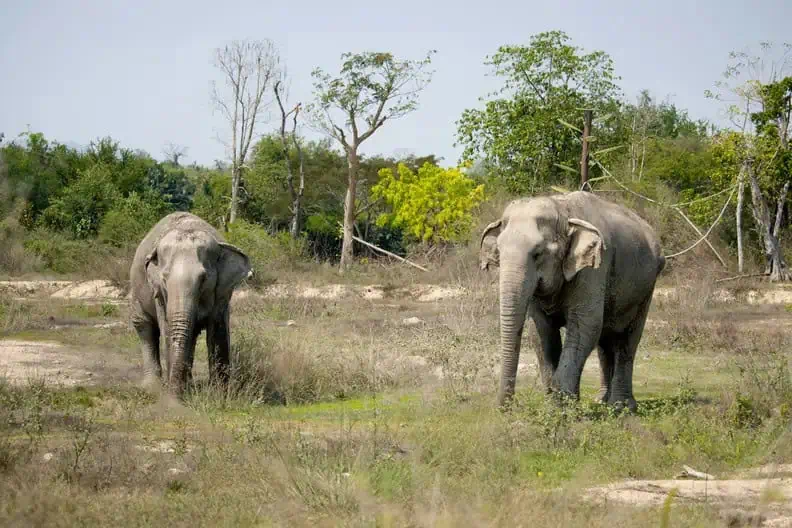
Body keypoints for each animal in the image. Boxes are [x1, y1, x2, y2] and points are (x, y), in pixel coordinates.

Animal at [129, 212, 252, 397]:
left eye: (203, 279)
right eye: (164, 279)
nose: (174, 394)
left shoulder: (222, 292)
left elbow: (218, 329)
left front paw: (219, 395)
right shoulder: (159, 293)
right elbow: (167, 329)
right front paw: (174, 394)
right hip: (137, 291)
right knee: (144, 327)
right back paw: (153, 387)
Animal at [479, 191, 665, 412]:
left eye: (537, 254)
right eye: (498, 254)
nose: (506, 407)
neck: (562, 209)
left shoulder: (593, 270)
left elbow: (584, 326)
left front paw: (561, 407)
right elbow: (541, 332)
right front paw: (560, 403)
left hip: (647, 288)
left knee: (627, 339)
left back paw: (621, 407)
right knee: (605, 341)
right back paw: (601, 400)